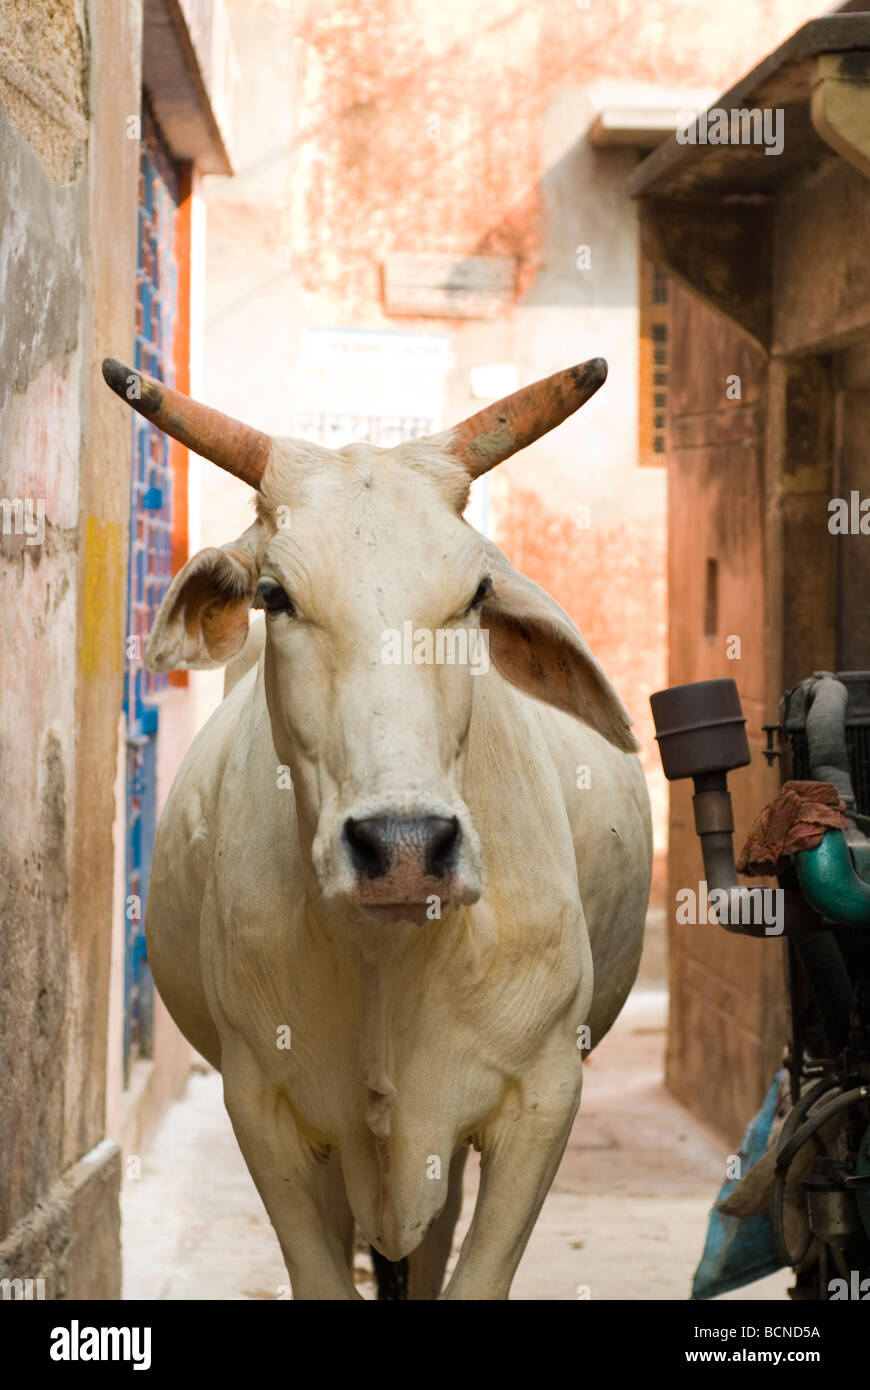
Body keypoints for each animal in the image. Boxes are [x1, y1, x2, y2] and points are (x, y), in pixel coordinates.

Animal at [103, 355, 652, 1300]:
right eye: (275, 595)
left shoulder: (543, 1098)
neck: (388, 953)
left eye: (475, 594)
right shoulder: (264, 1108)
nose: (403, 848)